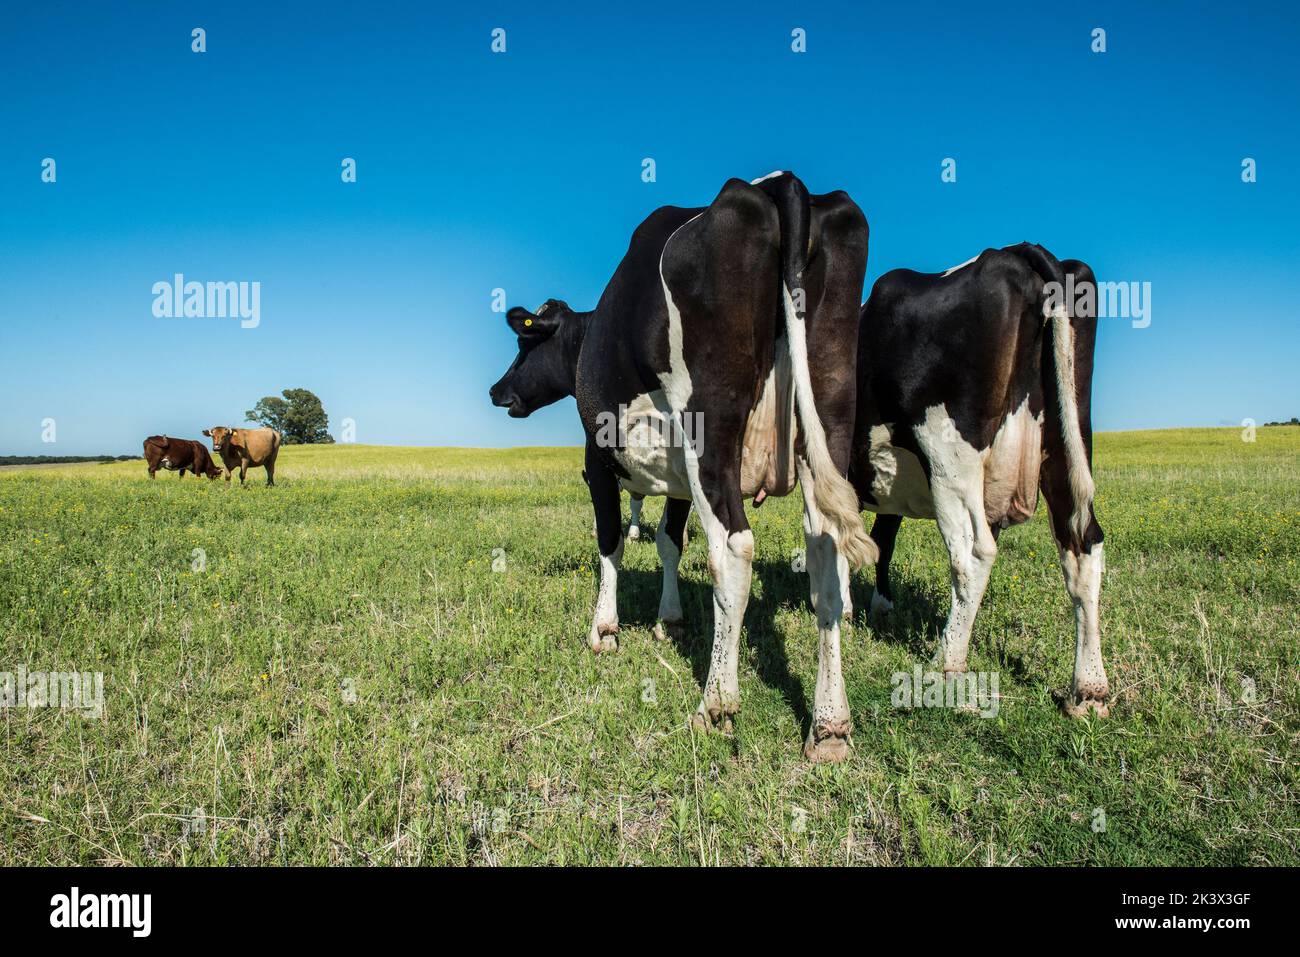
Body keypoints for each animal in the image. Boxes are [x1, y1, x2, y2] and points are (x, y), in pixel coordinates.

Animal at [490, 172, 875, 761]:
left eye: (524, 343)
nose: (496, 390)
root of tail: (779, 183)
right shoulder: (675, 479)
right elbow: (670, 541)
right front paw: (668, 619)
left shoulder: (598, 460)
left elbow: (611, 541)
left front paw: (605, 629)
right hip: (828, 416)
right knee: (828, 554)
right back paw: (829, 726)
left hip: (710, 431)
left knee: (733, 549)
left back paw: (715, 705)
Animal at [848, 243, 1110, 717]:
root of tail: (1018, 252)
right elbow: (881, 539)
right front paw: (879, 607)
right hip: (1067, 441)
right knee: (1082, 543)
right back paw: (1089, 688)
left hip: (949, 455)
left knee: (972, 552)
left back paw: (946, 662)